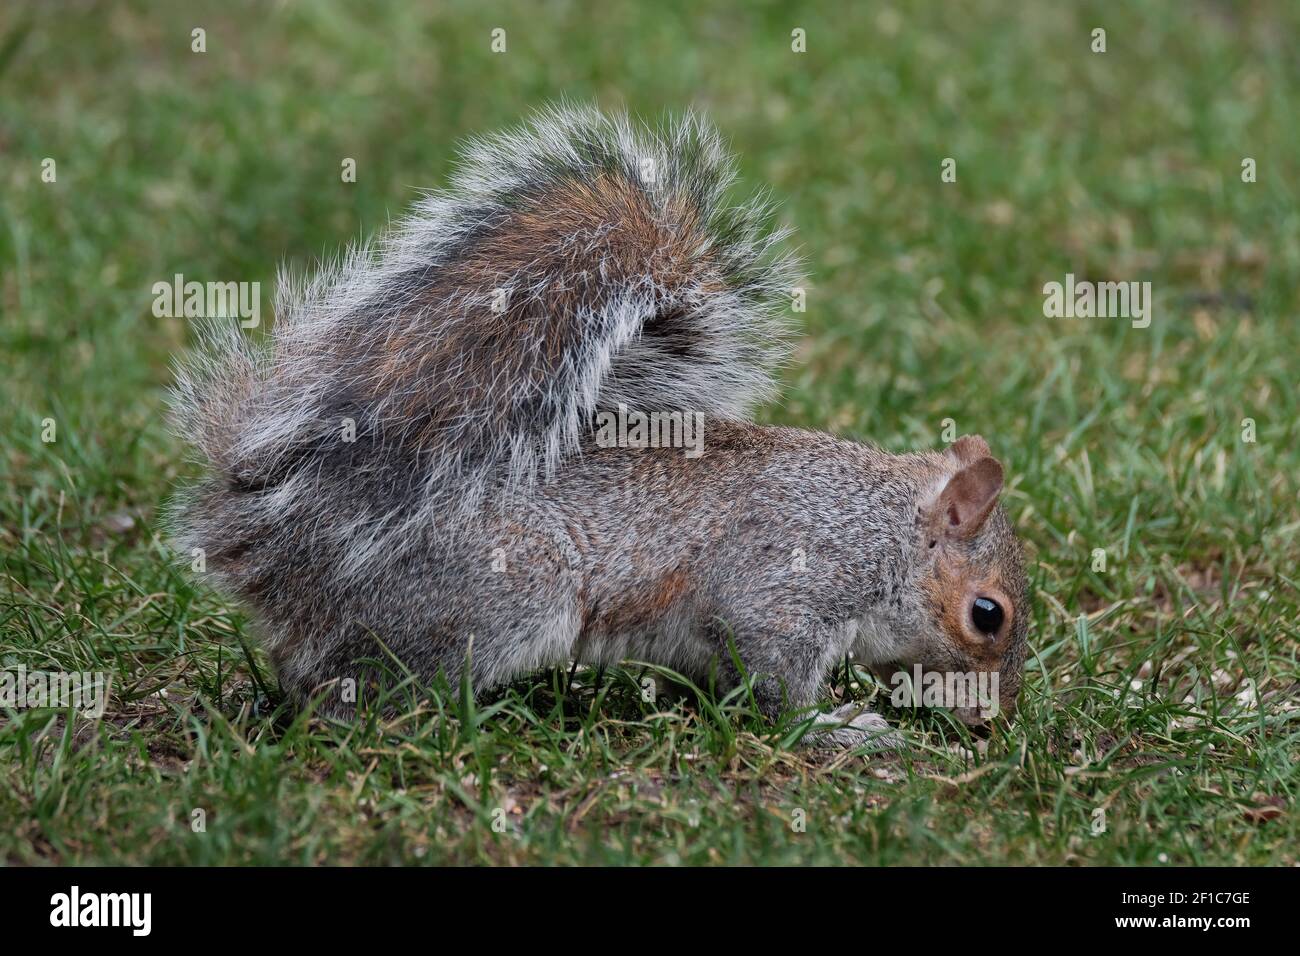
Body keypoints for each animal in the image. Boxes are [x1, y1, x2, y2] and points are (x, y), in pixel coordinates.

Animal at [168, 104, 1029, 748]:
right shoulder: (783, 584)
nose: (995, 723)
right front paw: (840, 728)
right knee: (350, 694)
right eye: (987, 615)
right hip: (502, 594)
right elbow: (773, 684)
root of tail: (275, 550)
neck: (878, 528)